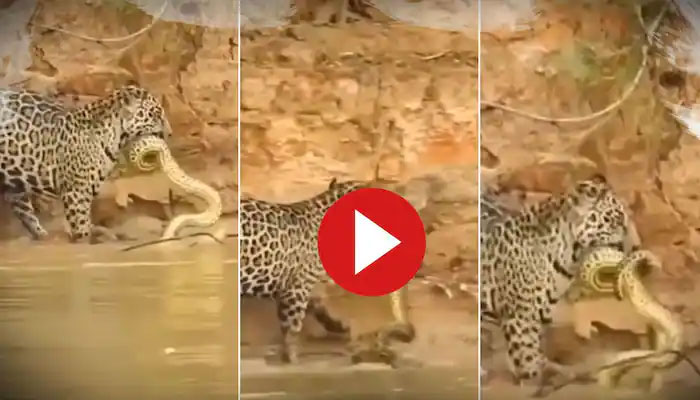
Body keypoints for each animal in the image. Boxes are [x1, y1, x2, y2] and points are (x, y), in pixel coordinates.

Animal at [240, 178, 366, 364]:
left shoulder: (301, 283)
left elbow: (318, 308)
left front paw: (338, 326)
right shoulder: (298, 286)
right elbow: (292, 325)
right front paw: (291, 358)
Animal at [480, 174, 638, 387]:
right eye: (617, 221)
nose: (635, 247)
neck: (570, 255)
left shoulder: (542, 312)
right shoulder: (521, 318)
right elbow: (528, 357)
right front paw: (532, 383)